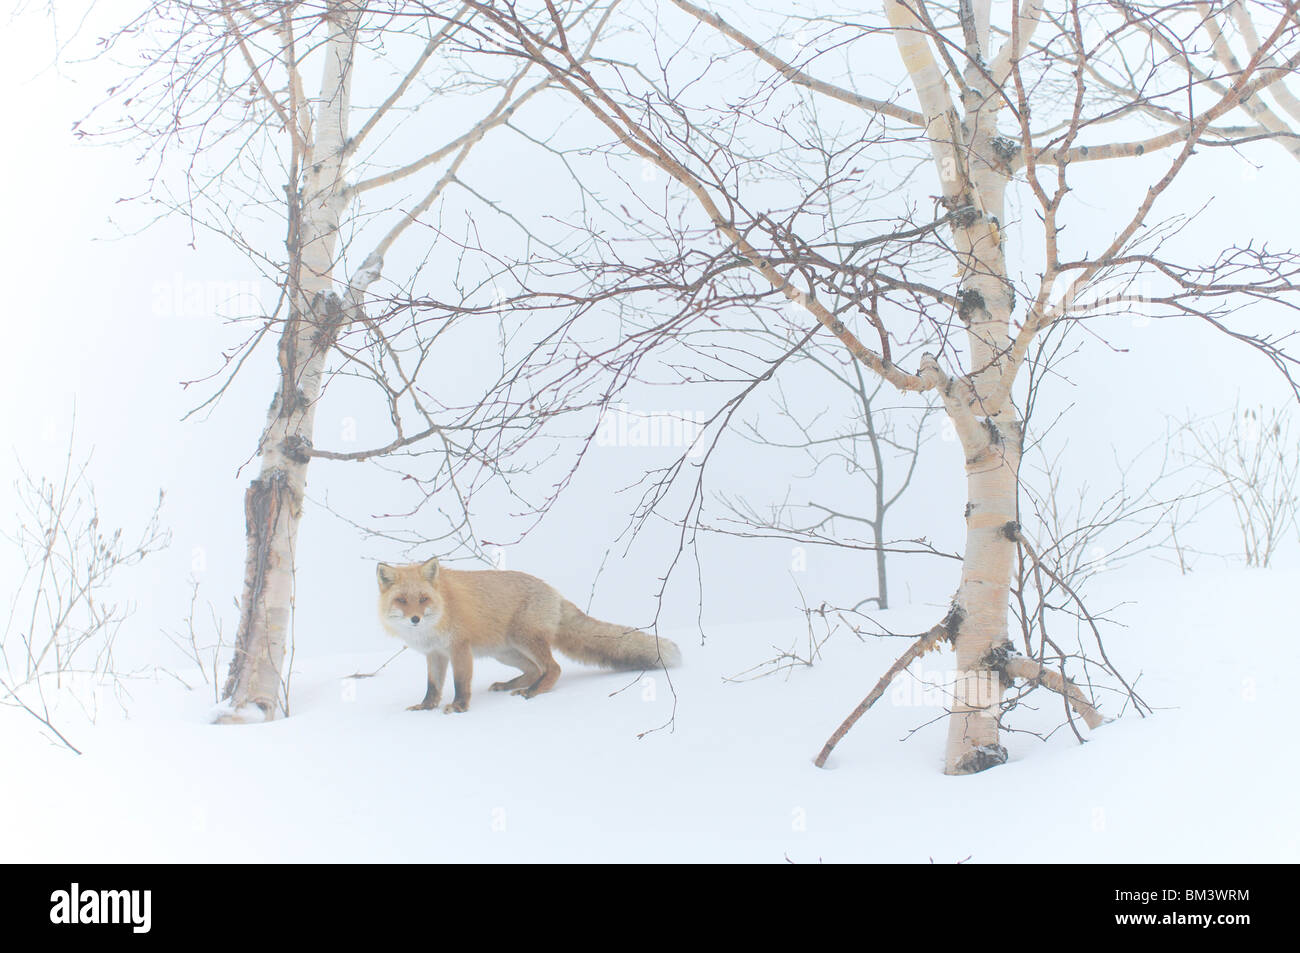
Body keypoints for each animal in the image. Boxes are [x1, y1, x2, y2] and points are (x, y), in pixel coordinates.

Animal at [376, 557, 681, 713]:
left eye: (423, 599)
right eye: (402, 600)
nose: (415, 619)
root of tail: (554, 592)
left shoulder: (459, 648)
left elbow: (460, 683)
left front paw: (460, 706)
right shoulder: (435, 654)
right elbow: (433, 686)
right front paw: (426, 706)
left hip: (525, 639)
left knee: (553, 668)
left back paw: (535, 692)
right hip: (506, 652)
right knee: (535, 669)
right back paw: (513, 685)